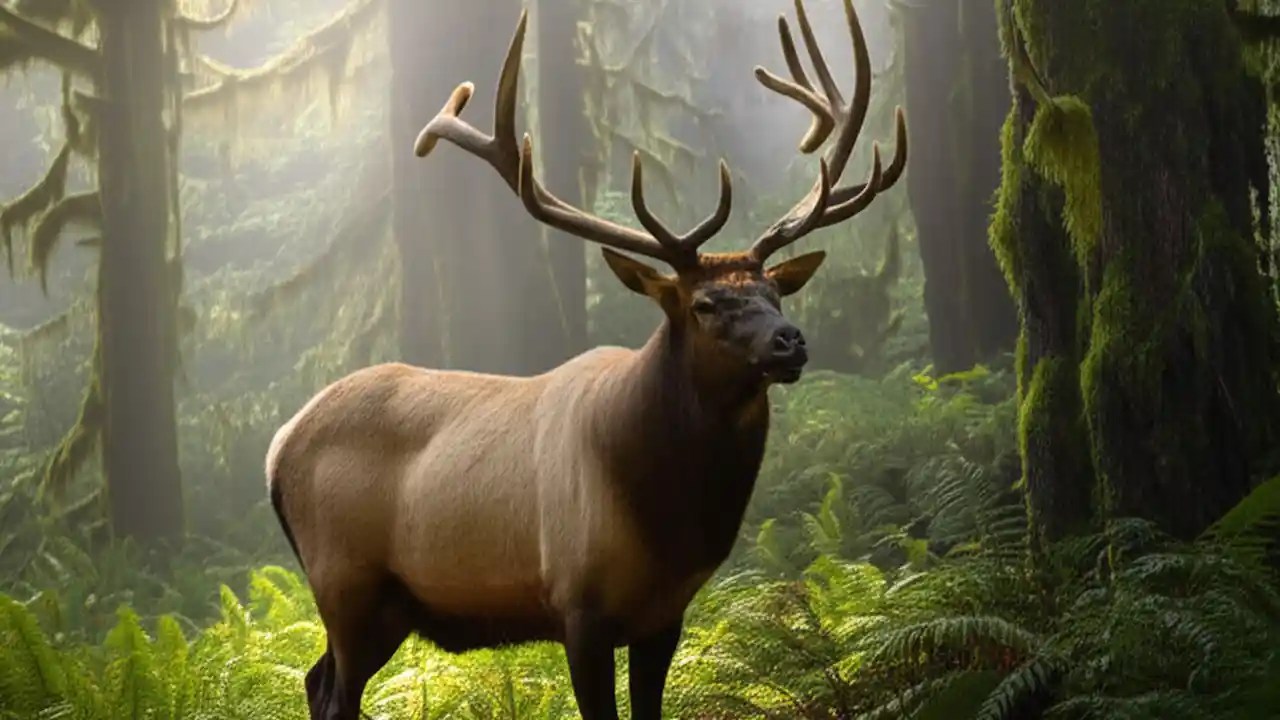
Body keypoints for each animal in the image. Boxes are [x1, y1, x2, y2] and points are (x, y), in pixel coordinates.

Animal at [265, 1, 906, 718]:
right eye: (704, 304)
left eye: (773, 292)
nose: (790, 341)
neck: (668, 522)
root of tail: (279, 445)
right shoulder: (579, 604)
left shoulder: (666, 614)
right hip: (344, 581)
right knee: (334, 692)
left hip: (388, 607)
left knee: (313, 677)